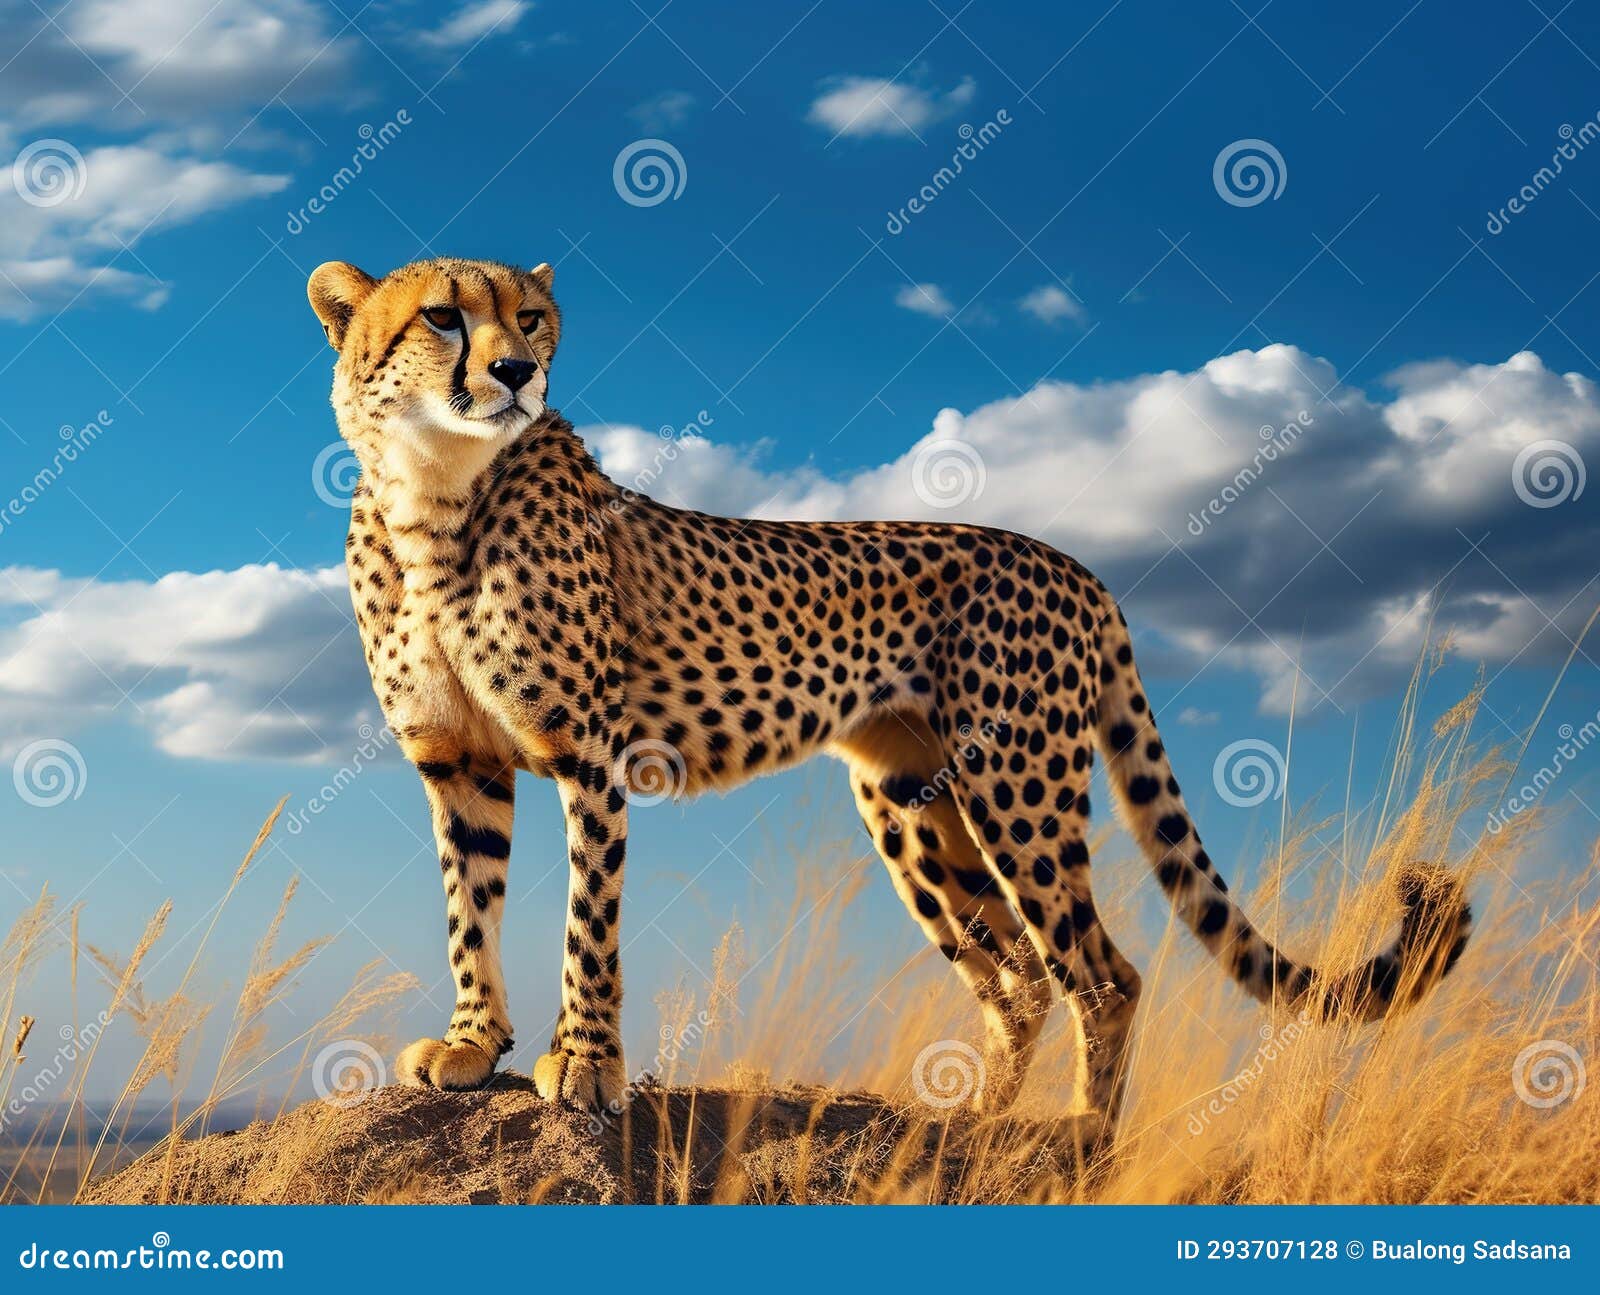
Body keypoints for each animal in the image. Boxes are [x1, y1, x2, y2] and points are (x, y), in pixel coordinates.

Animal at [307, 255, 1472, 1134]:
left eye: (533, 318)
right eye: (442, 315)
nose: (515, 371)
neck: (434, 491)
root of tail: (1078, 565)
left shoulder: (588, 752)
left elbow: (586, 920)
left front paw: (585, 1064)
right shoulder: (458, 761)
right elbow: (470, 906)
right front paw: (472, 1043)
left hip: (1017, 785)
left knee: (1103, 971)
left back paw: (1082, 1140)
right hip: (912, 804)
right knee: (1019, 975)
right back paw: (979, 1124)